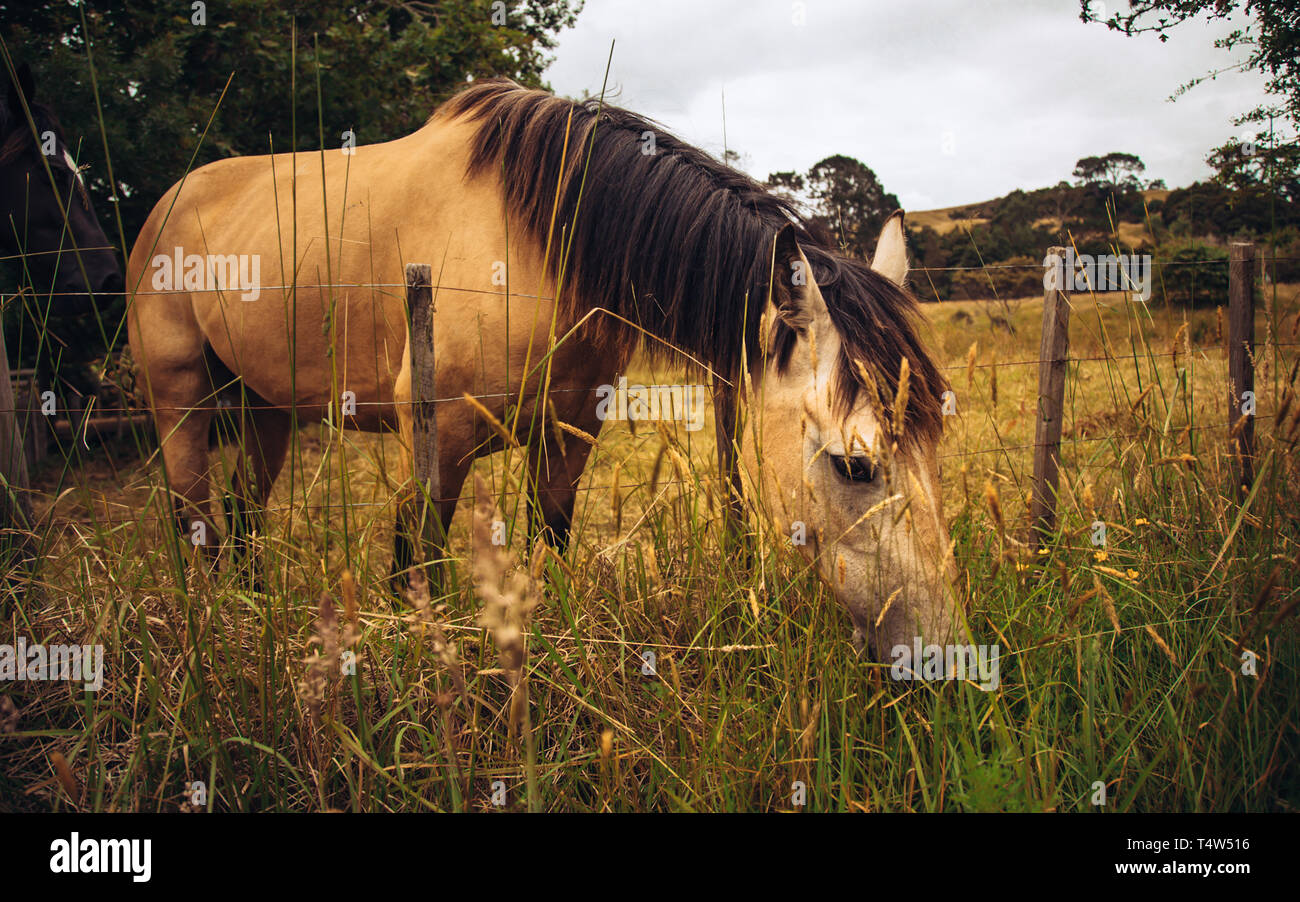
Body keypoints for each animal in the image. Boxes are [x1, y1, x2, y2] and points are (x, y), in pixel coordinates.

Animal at [126, 78, 958, 660]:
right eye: (855, 464)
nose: (942, 654)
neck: (540, 237)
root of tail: (167, 202)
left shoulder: (569, 432)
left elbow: (549, 543)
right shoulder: (437, 441)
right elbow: (413, 560)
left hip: (264, 408)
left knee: (241, 515)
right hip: (181, 403)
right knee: (197, 516)